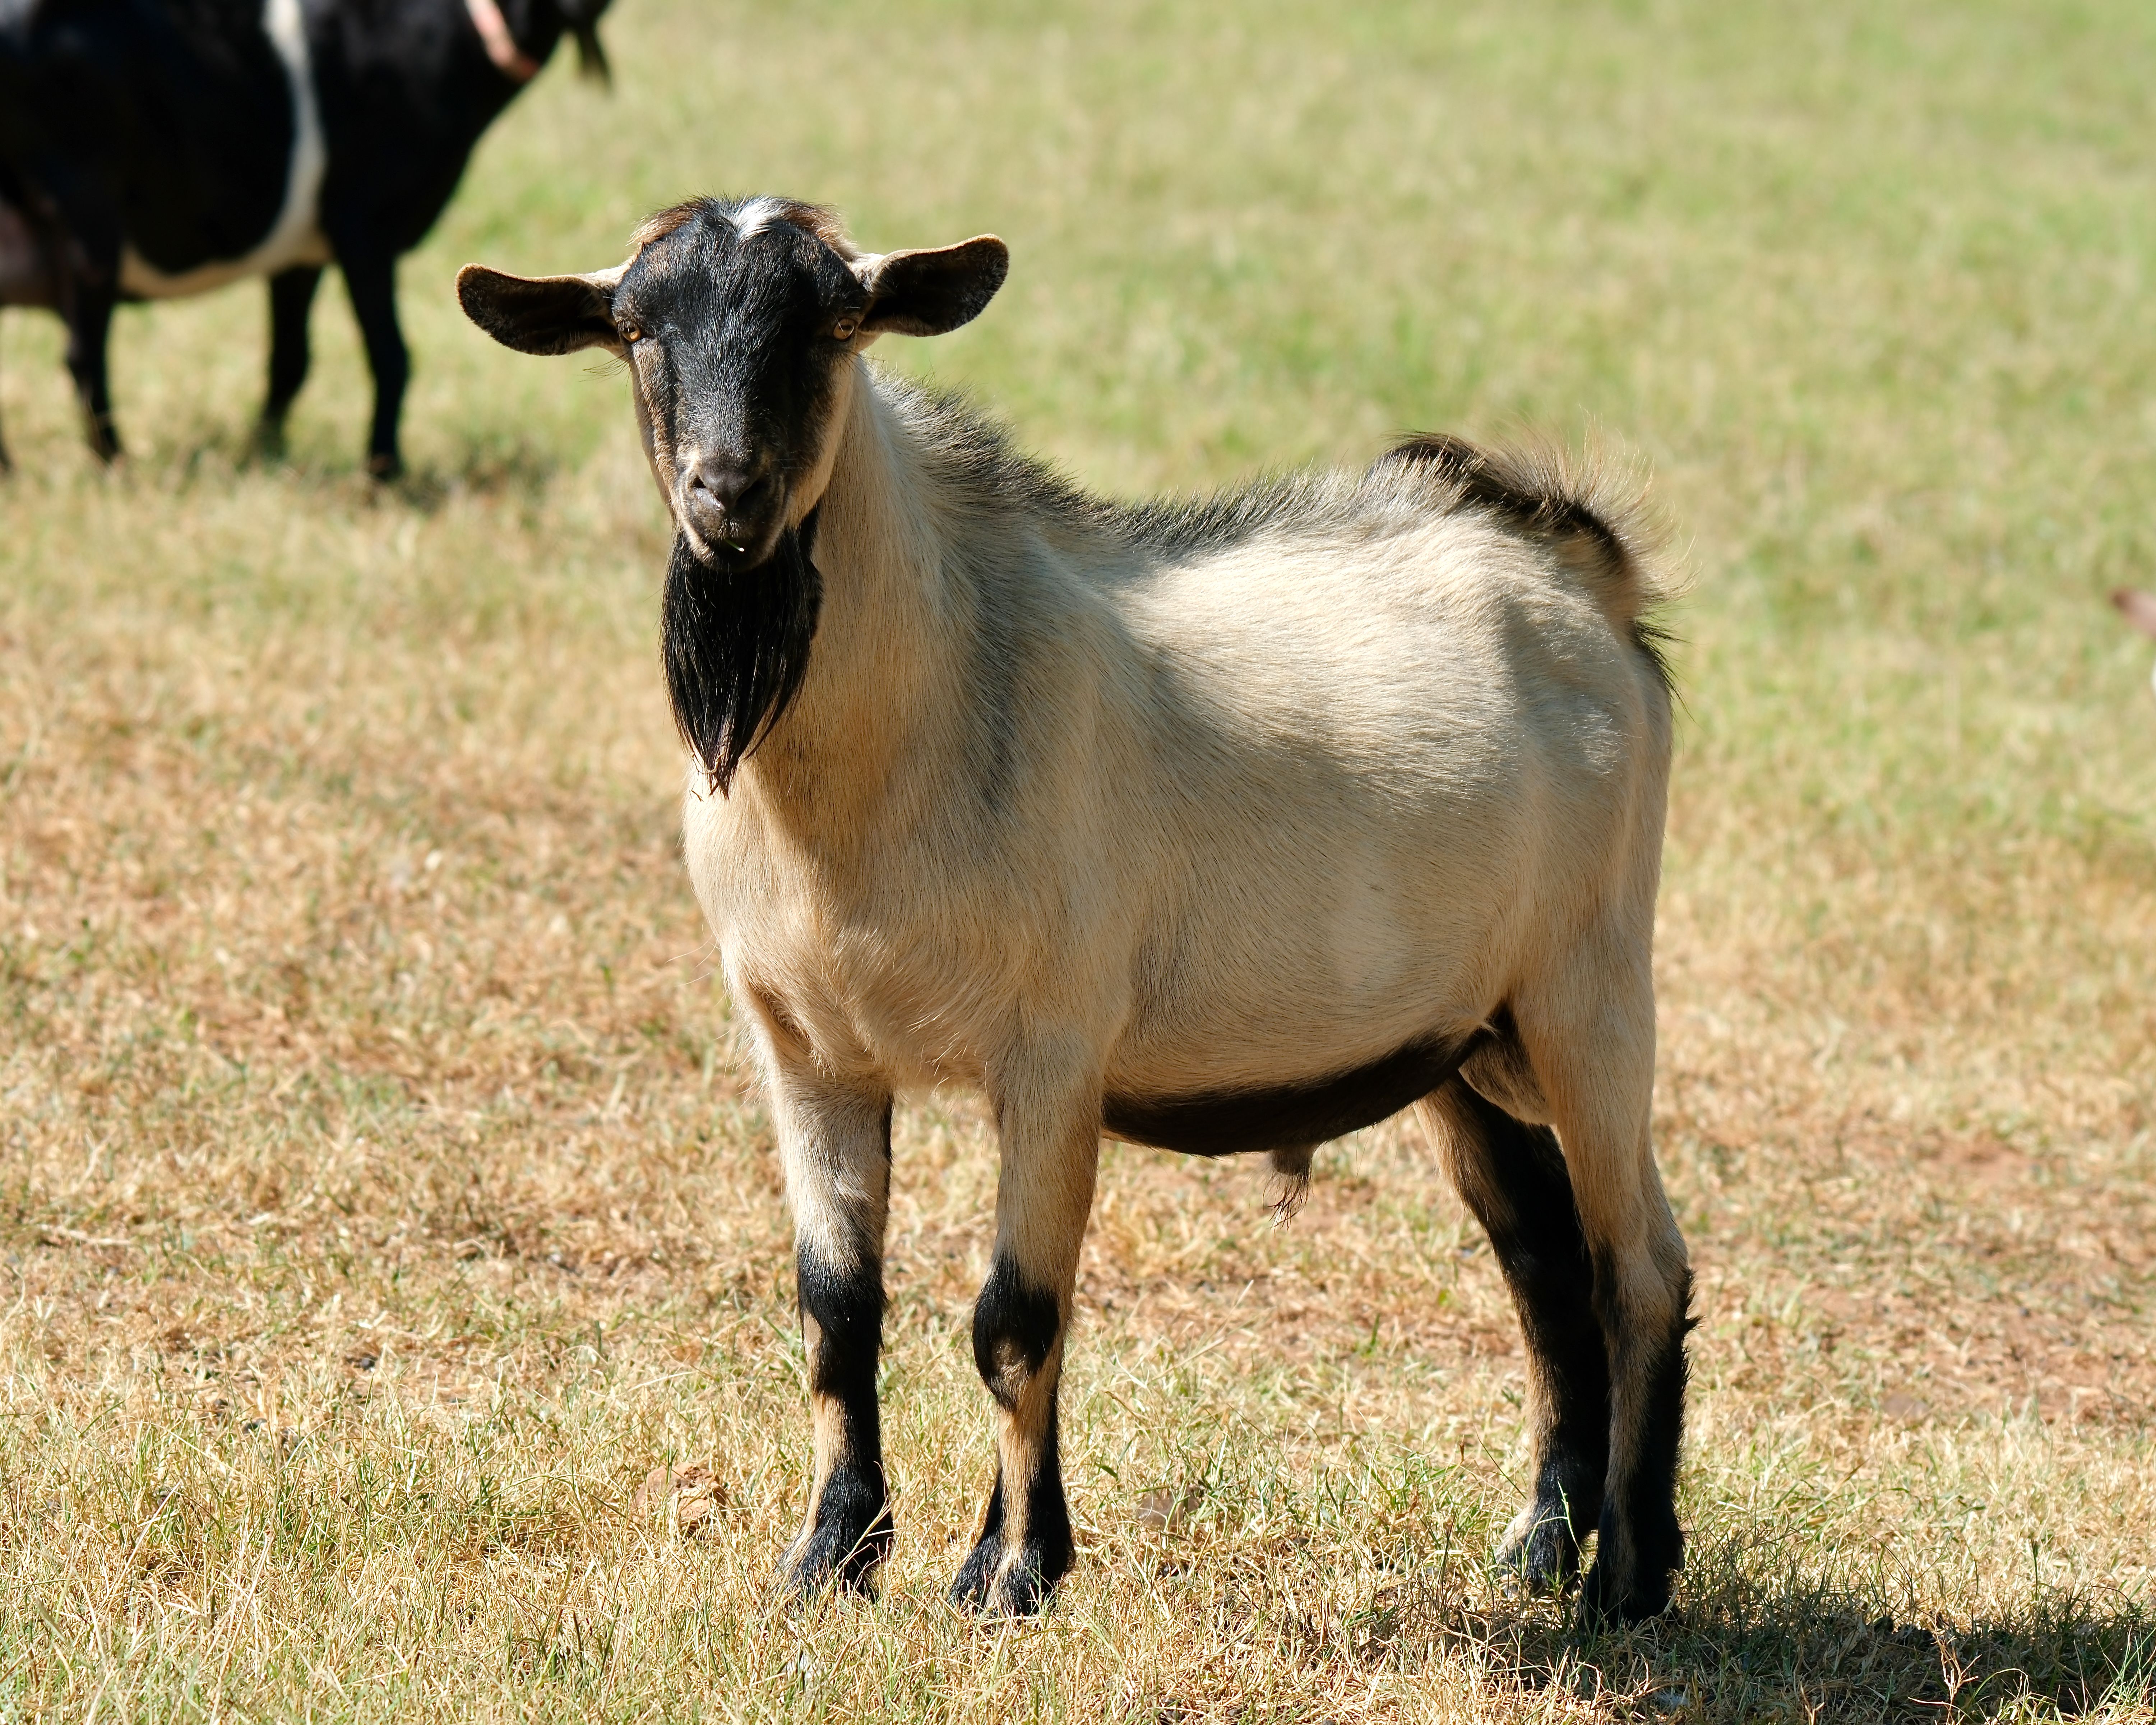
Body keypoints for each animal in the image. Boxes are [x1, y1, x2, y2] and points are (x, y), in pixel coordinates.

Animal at [0, 0, 610, 477]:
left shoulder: (300, 255)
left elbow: (289, 360)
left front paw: (264, 451)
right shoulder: (365, 229)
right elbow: (391, 355)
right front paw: (382, 472)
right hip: (89, 216)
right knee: (84, 356)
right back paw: (115, 464)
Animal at [458, 196, 1690, 1623]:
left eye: (830, 326)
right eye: (636, 327)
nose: (729, 491)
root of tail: (1582, 570)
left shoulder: (1050, 1049)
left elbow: (1013, 1315)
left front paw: (1009, 1572)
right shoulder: (804, 1046)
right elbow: (836, 1304)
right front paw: (831, 1554)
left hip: (1589, 988)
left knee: (1637, 1266)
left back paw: (1627, 1573)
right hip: (1460, 1037)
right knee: (1542, 1261)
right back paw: (1540, 1541)